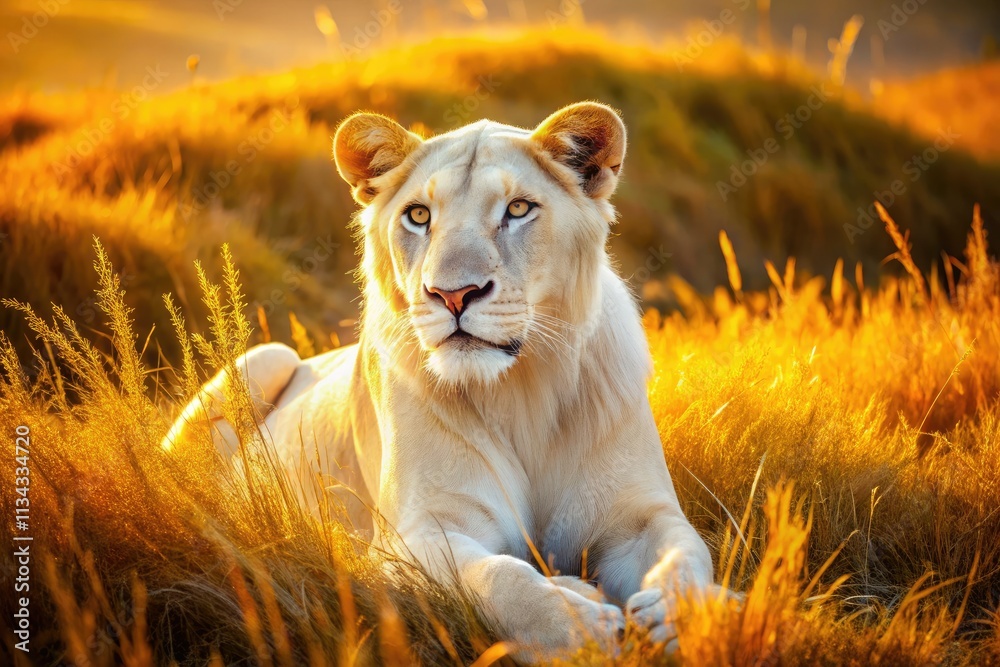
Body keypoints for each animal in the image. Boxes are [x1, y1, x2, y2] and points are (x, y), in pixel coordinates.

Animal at [163, 102, 717, 661]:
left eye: (518, 209)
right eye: (418, 215)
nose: (453, 295)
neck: (522, 392)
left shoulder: (638, 514)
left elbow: (687, 551)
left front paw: (686, 617)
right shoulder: (410, 538)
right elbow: (497, 579)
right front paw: (584, 629)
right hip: (266, 358)